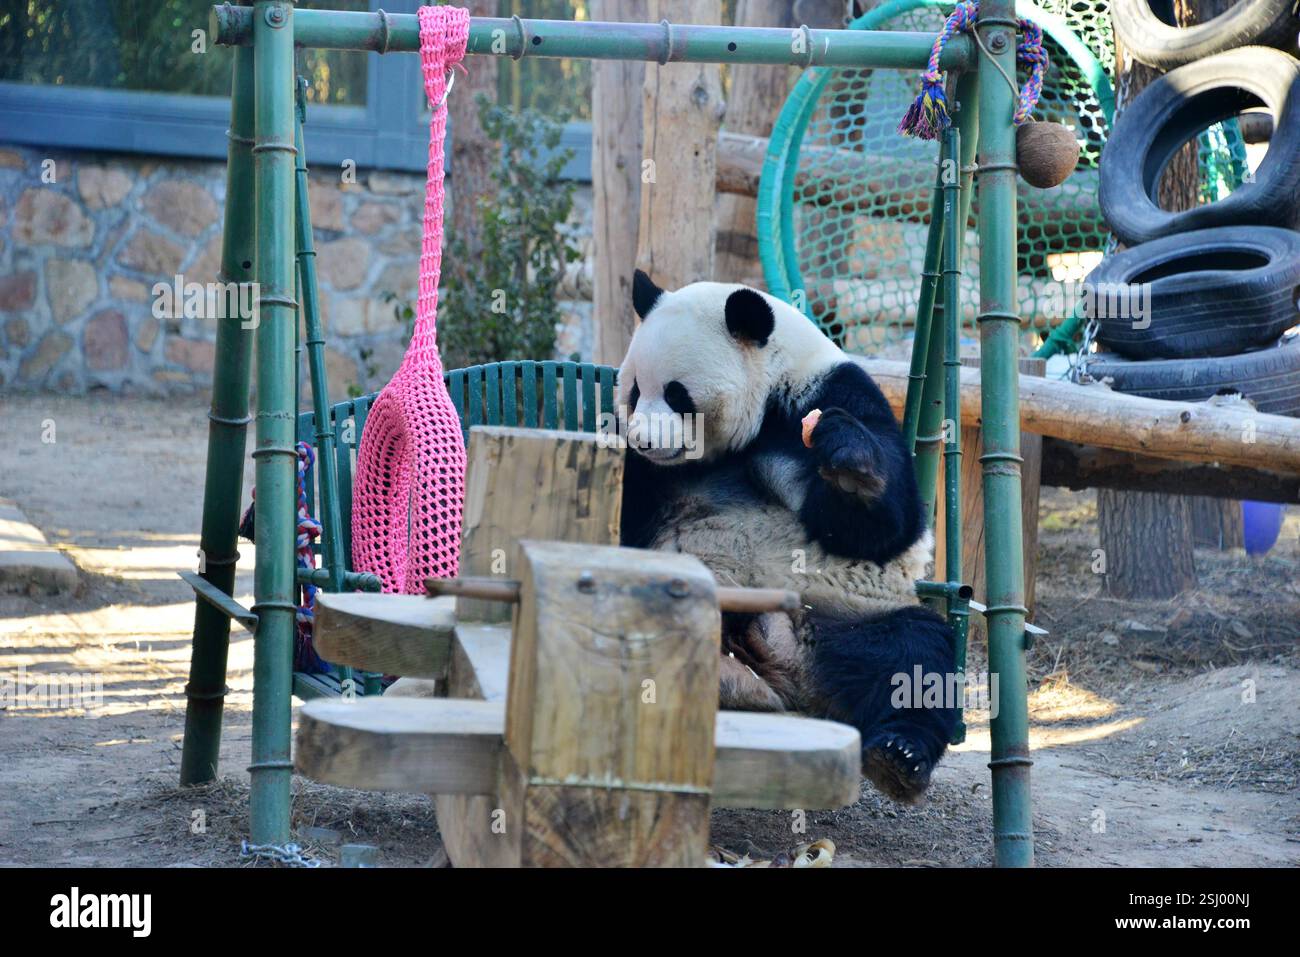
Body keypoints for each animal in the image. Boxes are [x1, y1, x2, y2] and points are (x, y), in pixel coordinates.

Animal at [618, 270, 957, 803]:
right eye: (634, 391)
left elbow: (883, 527)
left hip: (849, 614)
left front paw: (851, 466)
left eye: (676, 395)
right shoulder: (653, 477)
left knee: (915, 658)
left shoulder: (831, 395)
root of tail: (787, 669)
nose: (644, 439)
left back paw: (900, 757)